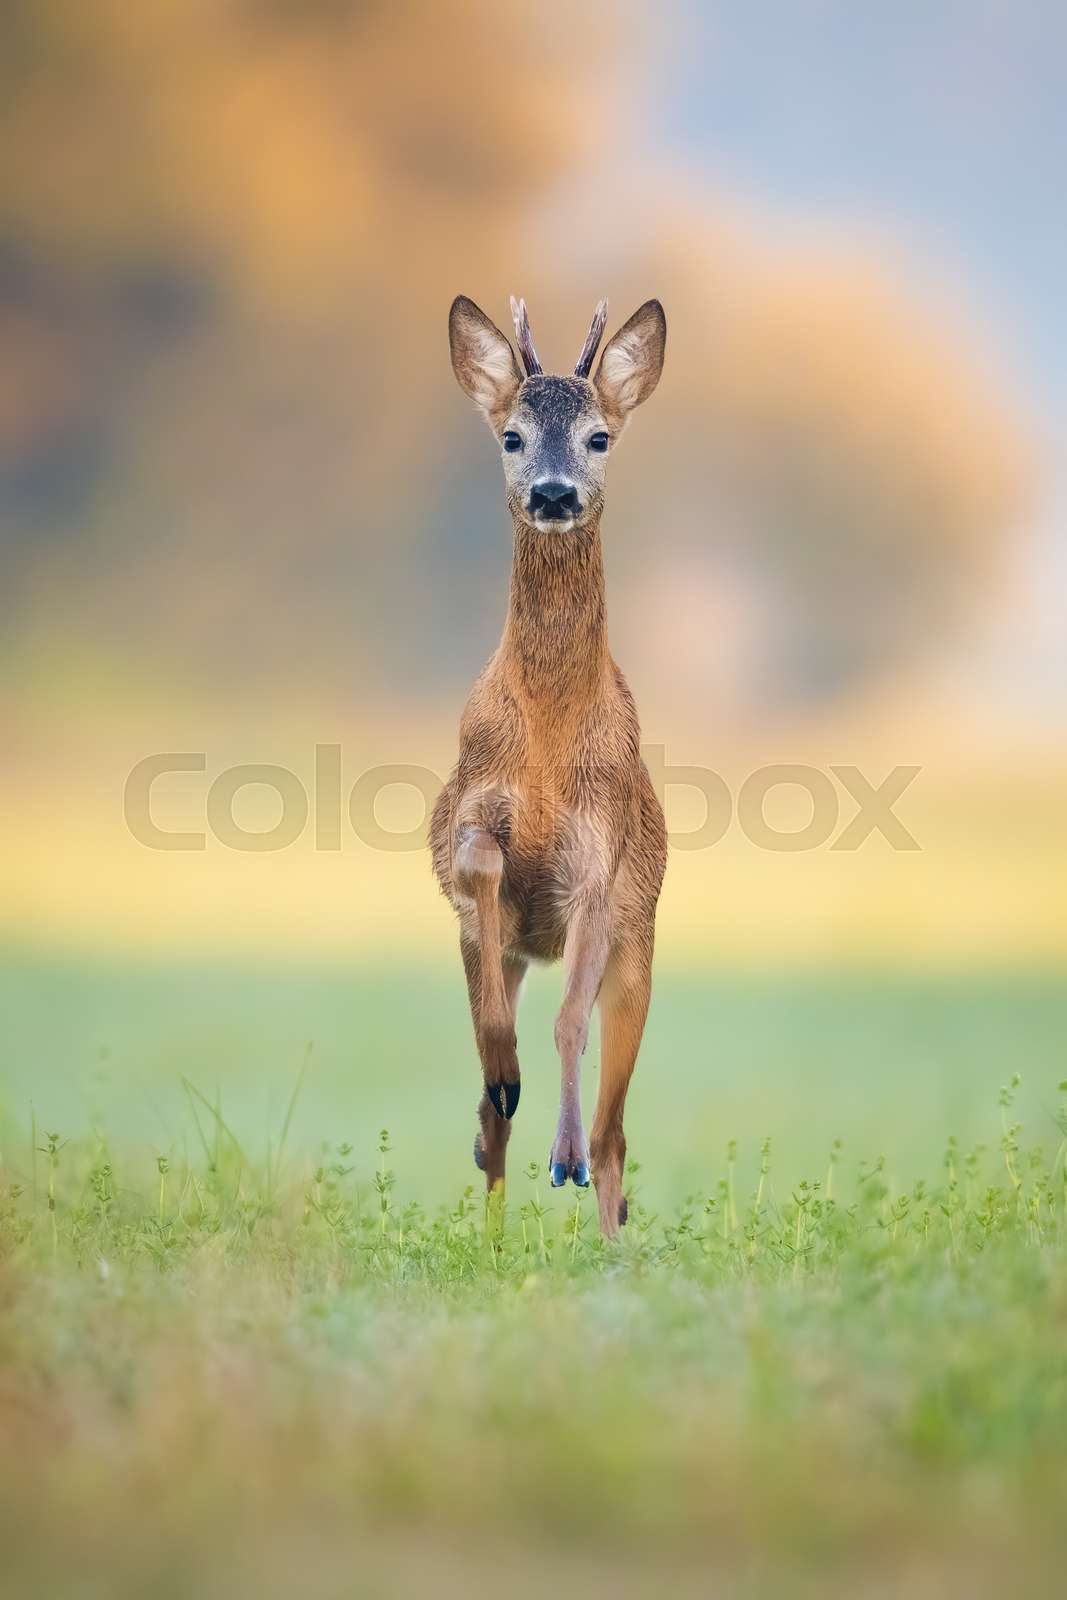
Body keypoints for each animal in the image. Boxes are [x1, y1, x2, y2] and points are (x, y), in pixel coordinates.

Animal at [430, 293, 667, 1238]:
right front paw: (503, 1069)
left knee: (616, 1135)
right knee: (493, 1125)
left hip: (639, 954)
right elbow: (480, 865)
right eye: (511, 435)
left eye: (599, 436)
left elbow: (571, 1025)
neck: (546, 740)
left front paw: (561, 1156)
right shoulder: (464, 819)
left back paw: (602, 1218)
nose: (555, 494)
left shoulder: (600, 863)